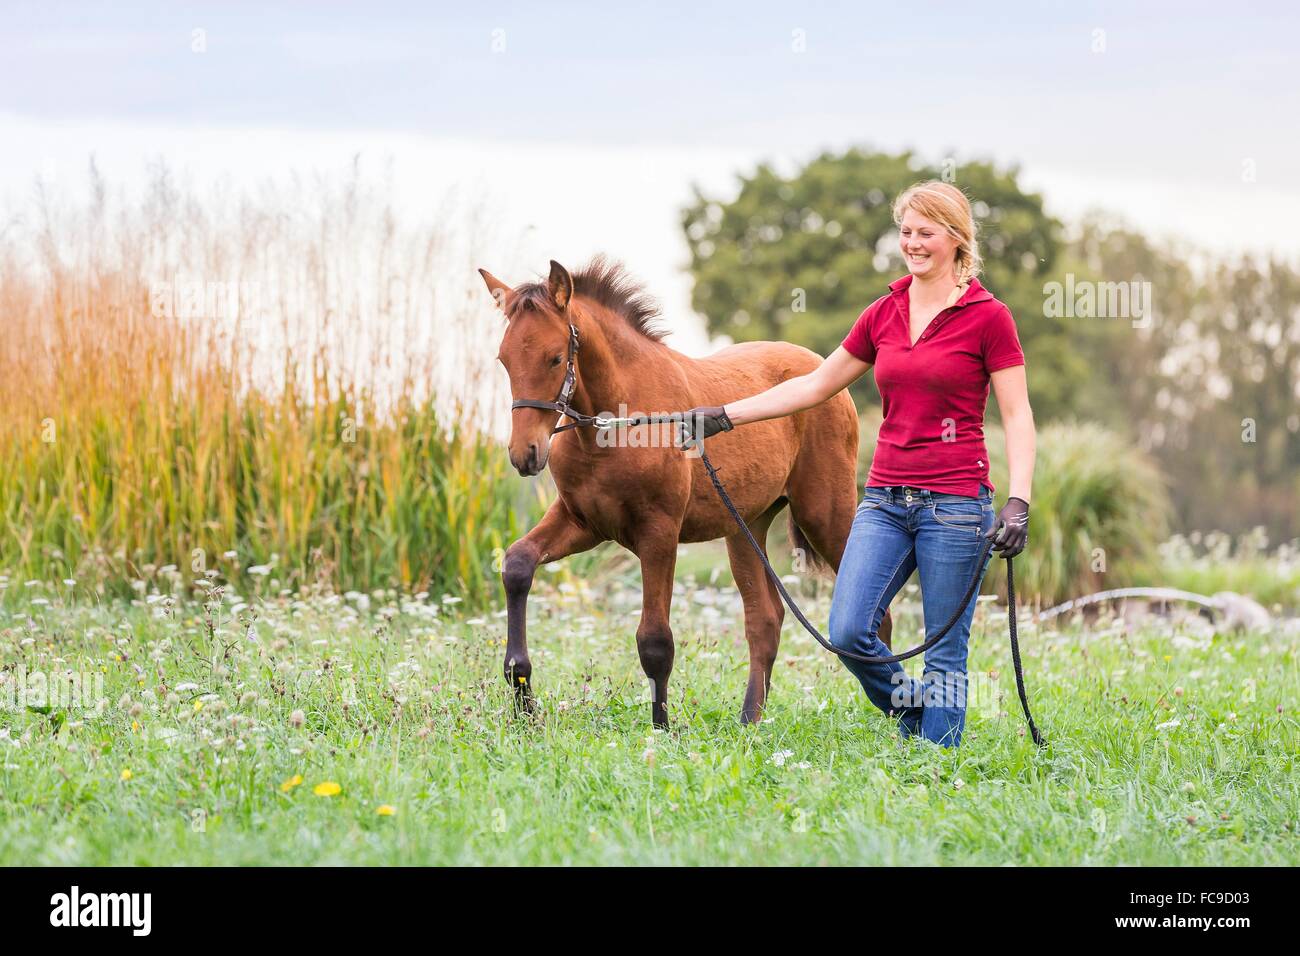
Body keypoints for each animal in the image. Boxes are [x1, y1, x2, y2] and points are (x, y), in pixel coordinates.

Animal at [478, 255, 893, 727]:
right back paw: (749, 721)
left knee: (875, 618)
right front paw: (523, 700)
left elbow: (655, 640)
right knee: (765, 620)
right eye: (504, 359)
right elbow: (517, 565)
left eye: (554, 358)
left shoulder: (659, 533)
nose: (524, 455)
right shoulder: (581, 523)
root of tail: (822, 368)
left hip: (826, 513)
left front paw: (661, 728)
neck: (614, 427)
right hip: (745, 528)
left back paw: (897, 710)